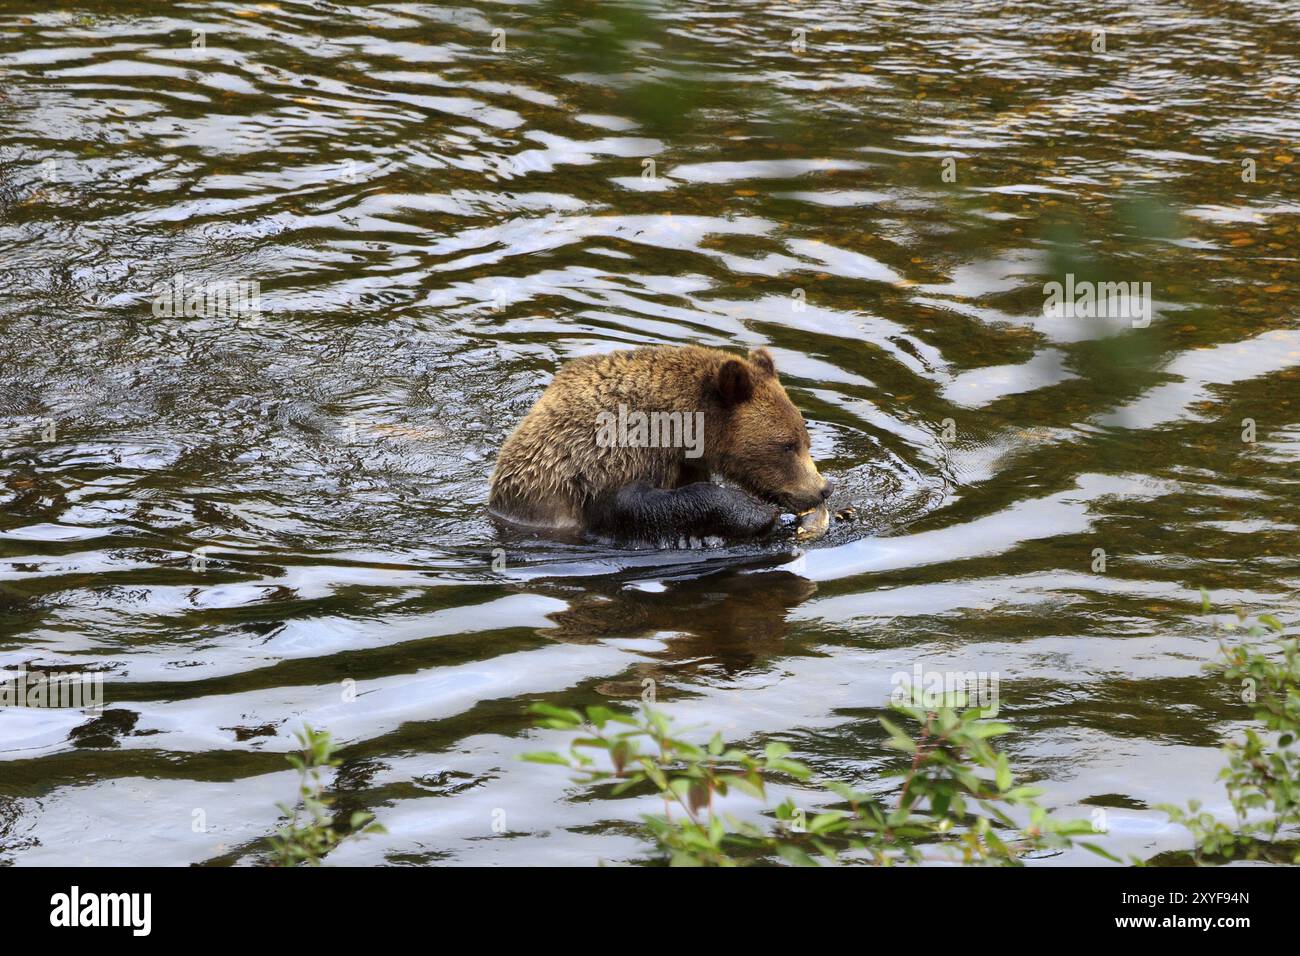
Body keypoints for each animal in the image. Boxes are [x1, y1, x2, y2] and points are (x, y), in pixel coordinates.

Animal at [488, 345, 832, 543]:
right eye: (787, 445)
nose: (823, 488)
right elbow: (633, 506)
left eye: (805, 440)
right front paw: (755, 512)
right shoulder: (605, 458)